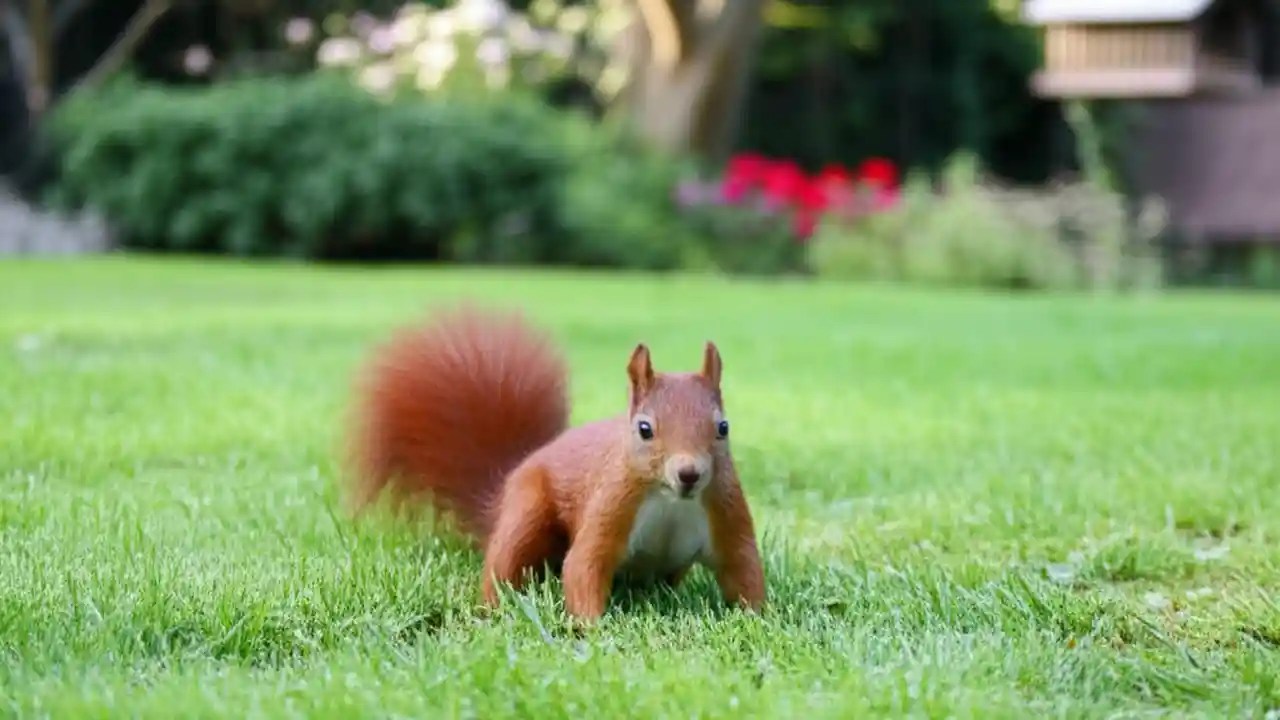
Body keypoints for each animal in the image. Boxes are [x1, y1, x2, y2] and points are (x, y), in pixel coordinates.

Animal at [345, 304, 765, 621]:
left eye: (723, 427)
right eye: (644, 429)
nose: (689, 473)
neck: (670, 499)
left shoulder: (725, 510)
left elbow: (742, 566)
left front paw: (757, 620)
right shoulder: (612, 505)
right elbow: (584, 564)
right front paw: (595, 629)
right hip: (527, 509)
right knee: (504, 563)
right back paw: (494, 609)